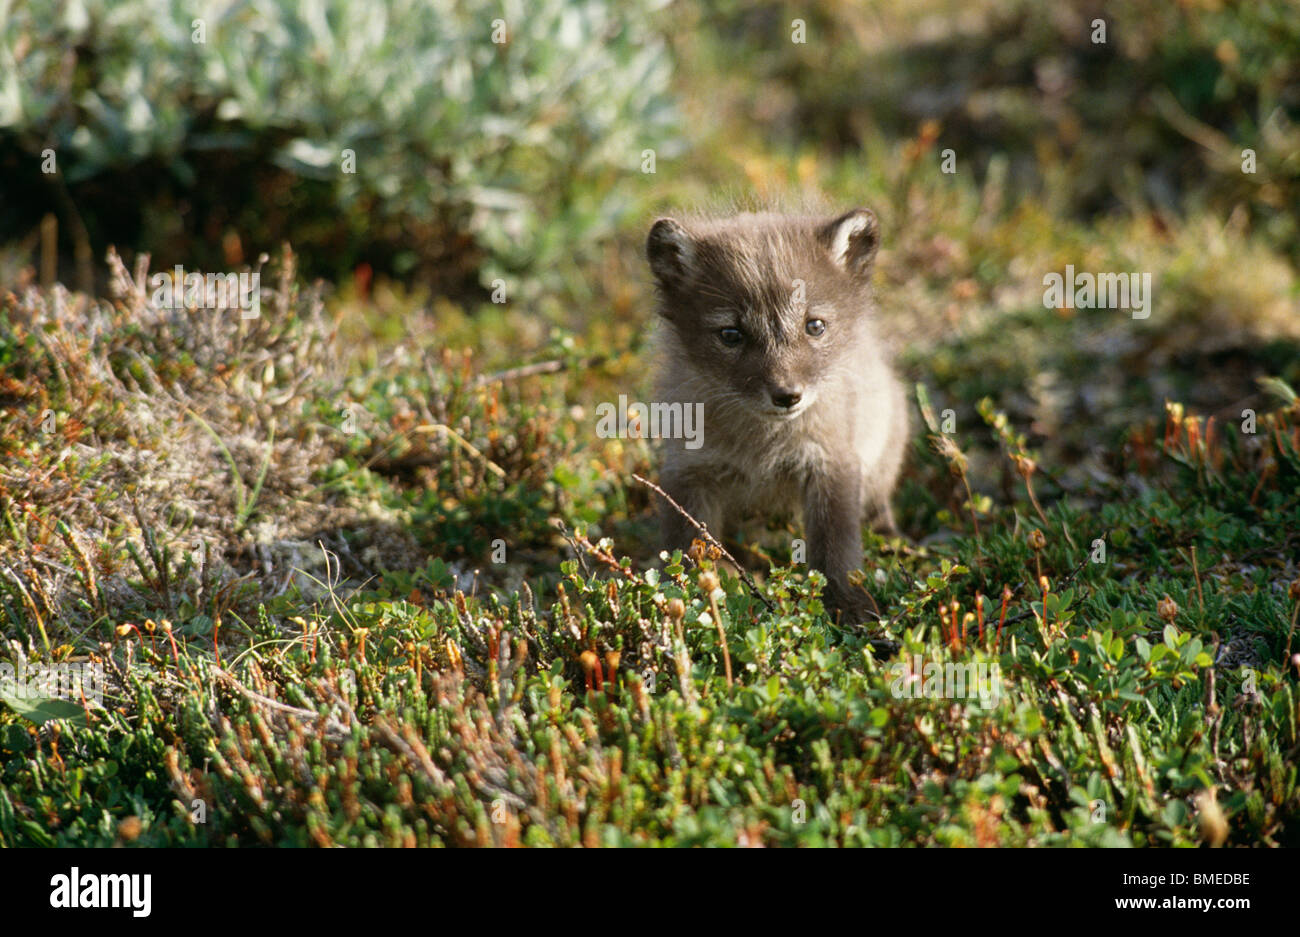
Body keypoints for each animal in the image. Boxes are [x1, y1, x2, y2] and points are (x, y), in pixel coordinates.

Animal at [646, 207, 909, 623]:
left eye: (814, 325)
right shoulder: (689, 468)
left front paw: (849, 605)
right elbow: (686, 549)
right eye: (731, 334)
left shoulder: (831, 460)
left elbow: (836, 544)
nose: (787, 396)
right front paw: (684, 602)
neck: (763, 447)